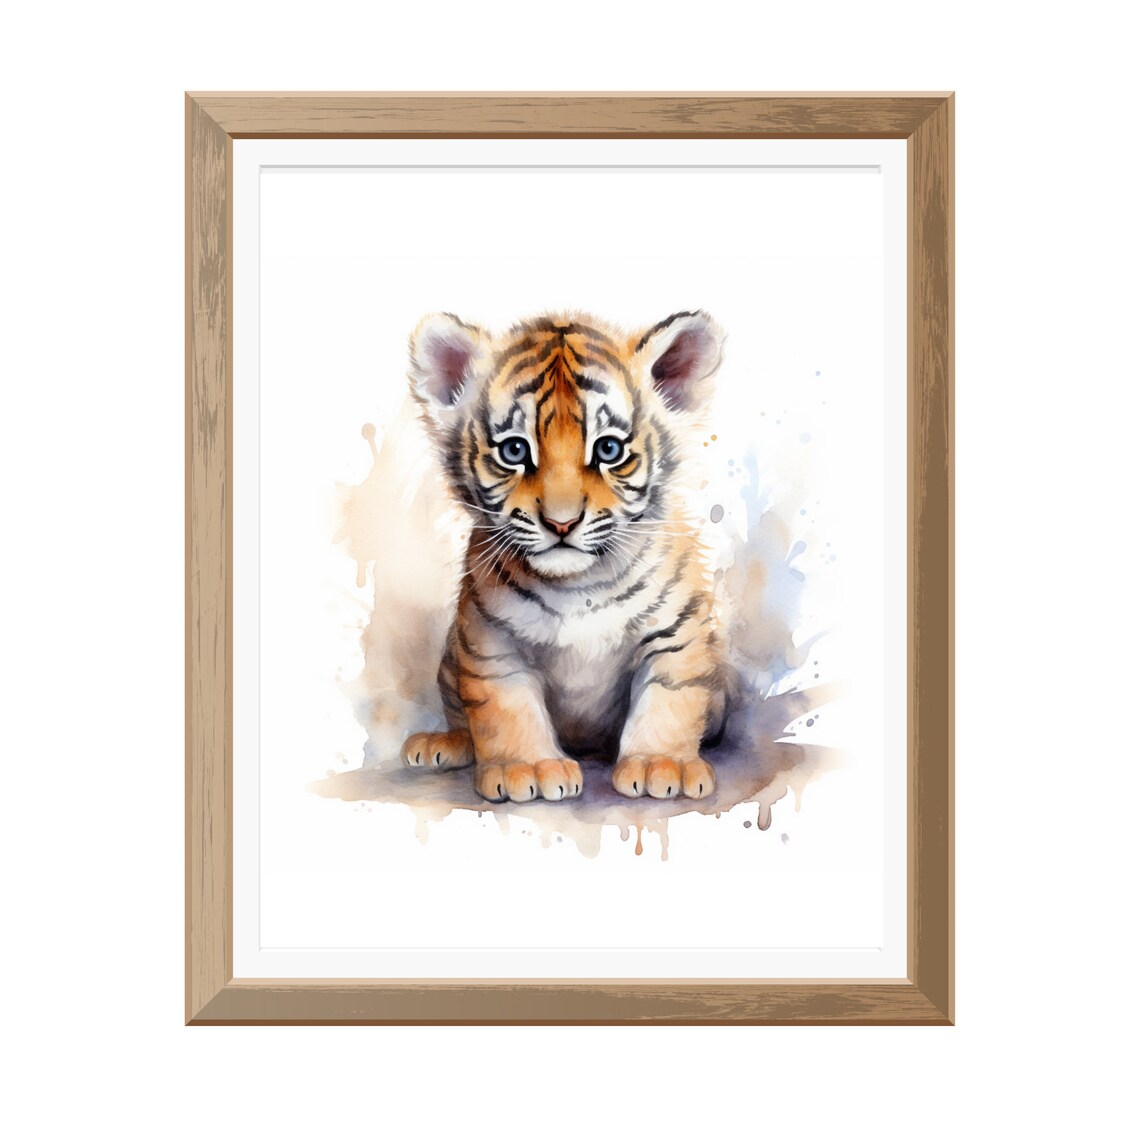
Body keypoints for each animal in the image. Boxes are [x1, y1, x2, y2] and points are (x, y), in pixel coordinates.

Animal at [399, 310, 729, 804]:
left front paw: (661, 764)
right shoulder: (493, 642)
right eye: (514, 450)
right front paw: (527, 768)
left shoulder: (676, 636)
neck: (579, 584)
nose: (561, 523)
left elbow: (669, 698)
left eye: (609, 449)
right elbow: (507, 708)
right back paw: (445, 743)